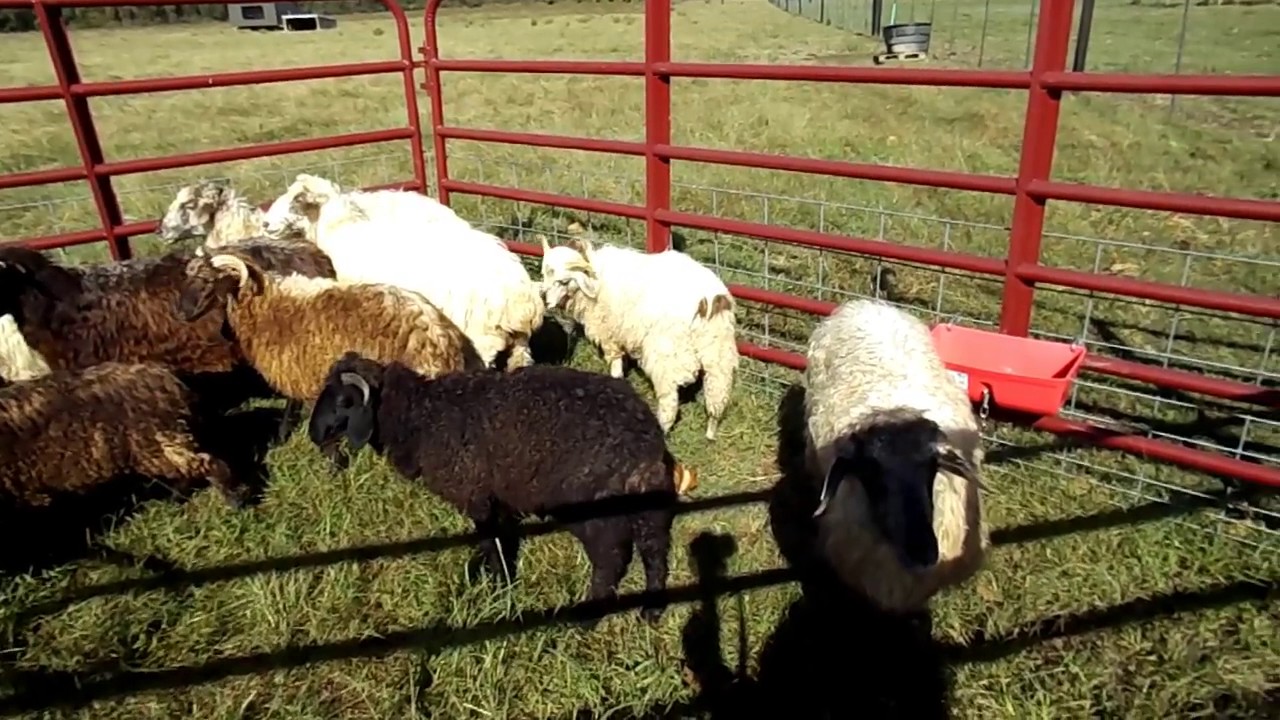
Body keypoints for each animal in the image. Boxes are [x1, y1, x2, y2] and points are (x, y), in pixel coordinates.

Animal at [176, 253, 485, 467]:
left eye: (207, 281)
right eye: (186, 280)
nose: (181, 313)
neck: (265, 305)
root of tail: (445, 338)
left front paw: (330, 457)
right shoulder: (298, 369)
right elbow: (292, 407)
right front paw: (283, 438)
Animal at [261, 173, 546, 370]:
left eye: (297, 201)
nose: (264, 223)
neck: (343, 230)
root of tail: (523, 299)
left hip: (482, 335)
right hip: (520, 341)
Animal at [307, 351, 689, 626]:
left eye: (344, 401)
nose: (314, 434)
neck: (421, 416)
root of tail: (645, 437)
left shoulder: (478, 497)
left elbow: (492, 544)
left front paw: (500, 591)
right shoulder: (500, 501)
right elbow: (498, 541)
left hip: (594, 512)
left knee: (611, 559)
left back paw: (586, 619)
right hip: (648, 504)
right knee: (654, 552)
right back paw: (651, 613)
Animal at [539, 234, 739, 440]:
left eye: (563, 281)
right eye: (544, 273)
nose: (543, 298)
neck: (597, 279)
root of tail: (709, 301)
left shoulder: (610, 333)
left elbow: (615, 364)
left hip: (666, 353)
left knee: (669, 402)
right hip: (718, 354)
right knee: (717, 397)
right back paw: (710, 433)